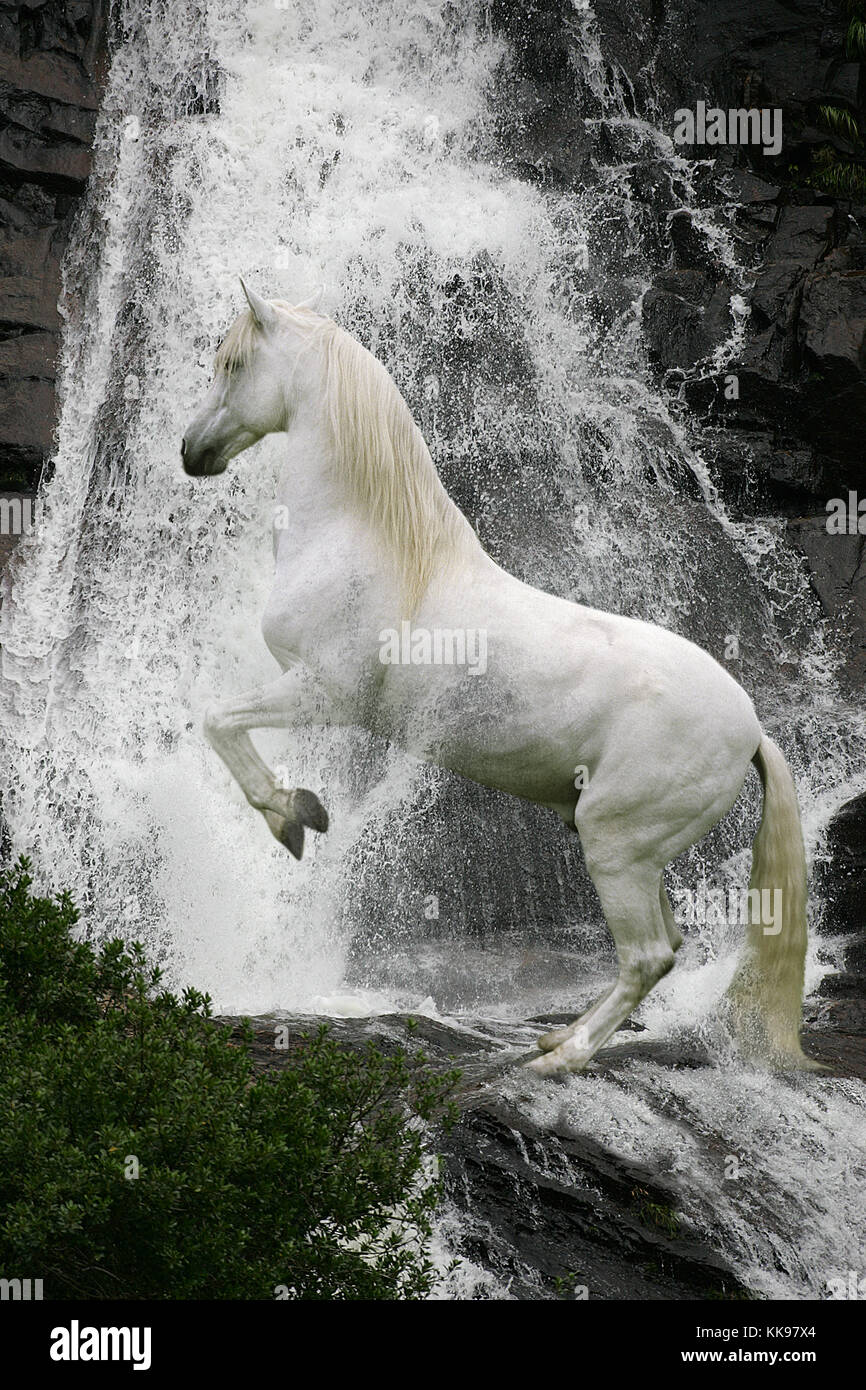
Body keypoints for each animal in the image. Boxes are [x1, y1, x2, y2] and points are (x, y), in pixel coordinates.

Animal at [180, 282, 815, 1077]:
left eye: (233, 364)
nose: (191, 452)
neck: (373, 545)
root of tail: (752, 729)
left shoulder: (322, 693)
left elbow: (217, 720)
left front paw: (293, 816)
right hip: (639, 854)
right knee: (666, 950)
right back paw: (552, 1039)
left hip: (616, 845)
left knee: (647, 956)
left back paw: (559, 1058)